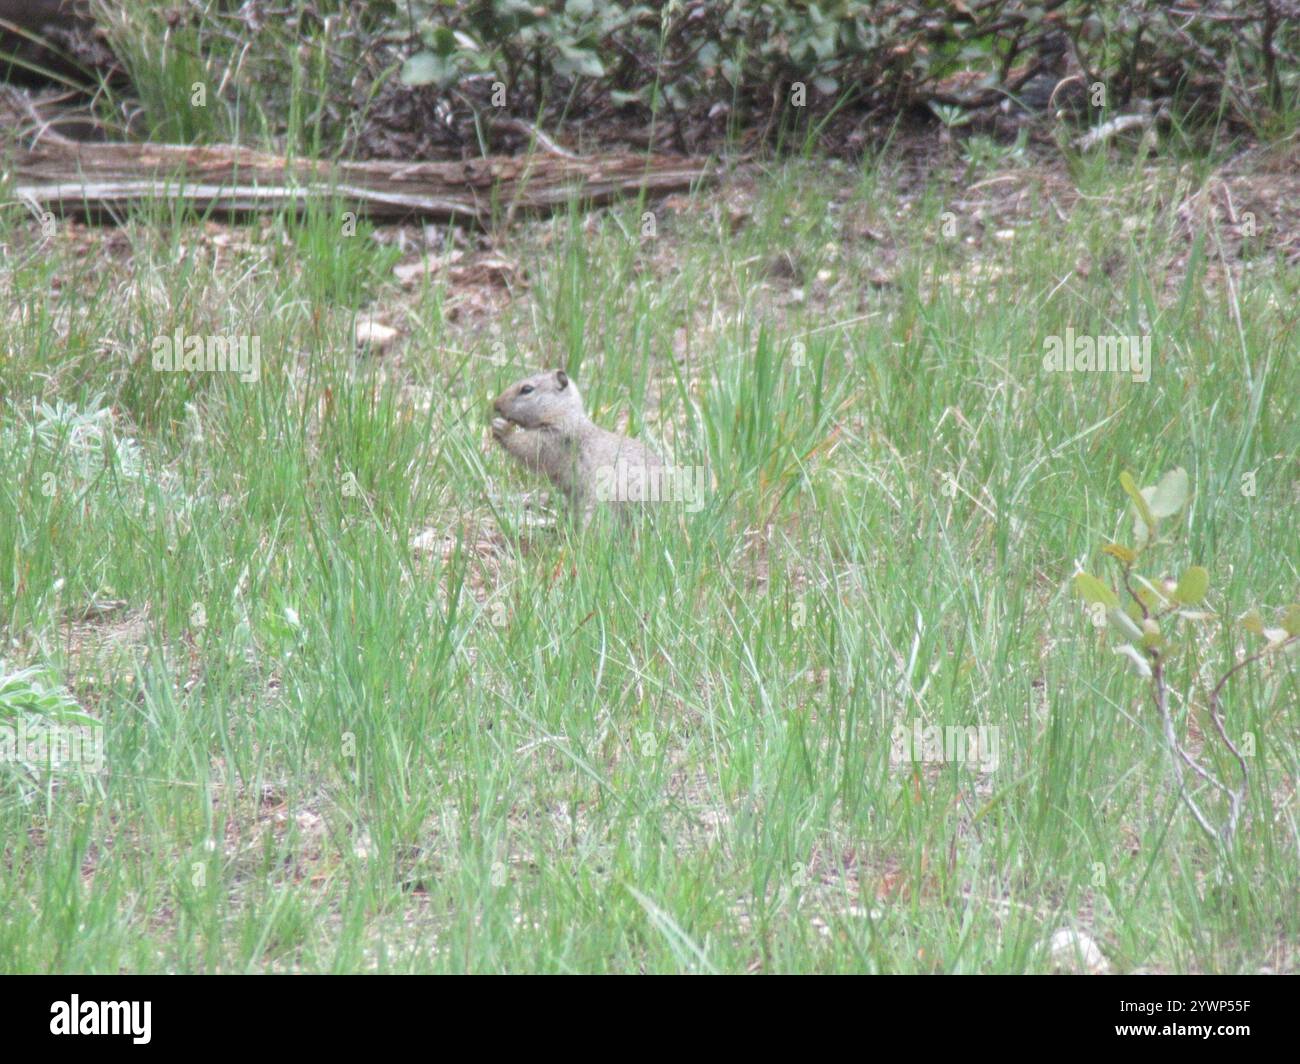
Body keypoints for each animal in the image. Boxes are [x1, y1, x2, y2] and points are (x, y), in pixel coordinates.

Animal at [490, 368, 664, 519]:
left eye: (527, 389)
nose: (496, 405)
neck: (566, 415)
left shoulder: (556, 438)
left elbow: (530, 448)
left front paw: (502, 429)